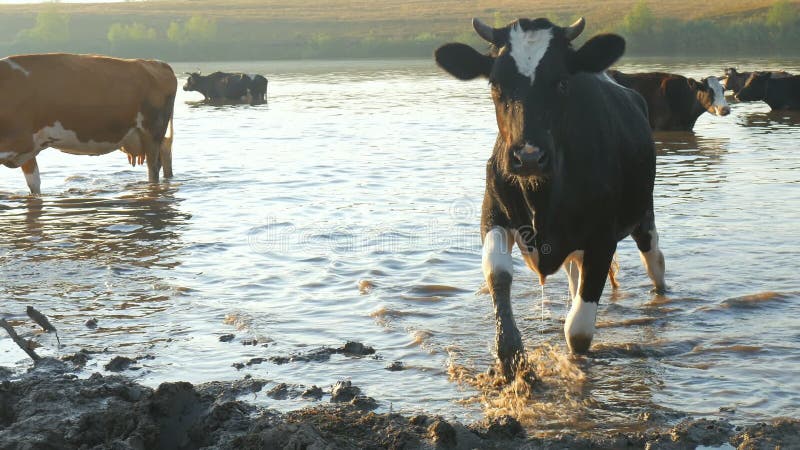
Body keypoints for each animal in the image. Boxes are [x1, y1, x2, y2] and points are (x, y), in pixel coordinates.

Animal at [0, 53, 176, 195]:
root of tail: (155, 62)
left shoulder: (20, 141)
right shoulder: (27, 150)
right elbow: (34, 185)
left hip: (152, 132)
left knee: (153, 169)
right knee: (165, 154)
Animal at [435, 17, 666, 378]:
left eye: (561, 82)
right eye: (495, 84)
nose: (528, 156)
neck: (540, 195)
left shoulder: (602, 237)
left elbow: (578, 332)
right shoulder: (493, 215)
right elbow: (498, 273)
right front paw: (512, 355)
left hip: (643, 216)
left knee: (655, 263)